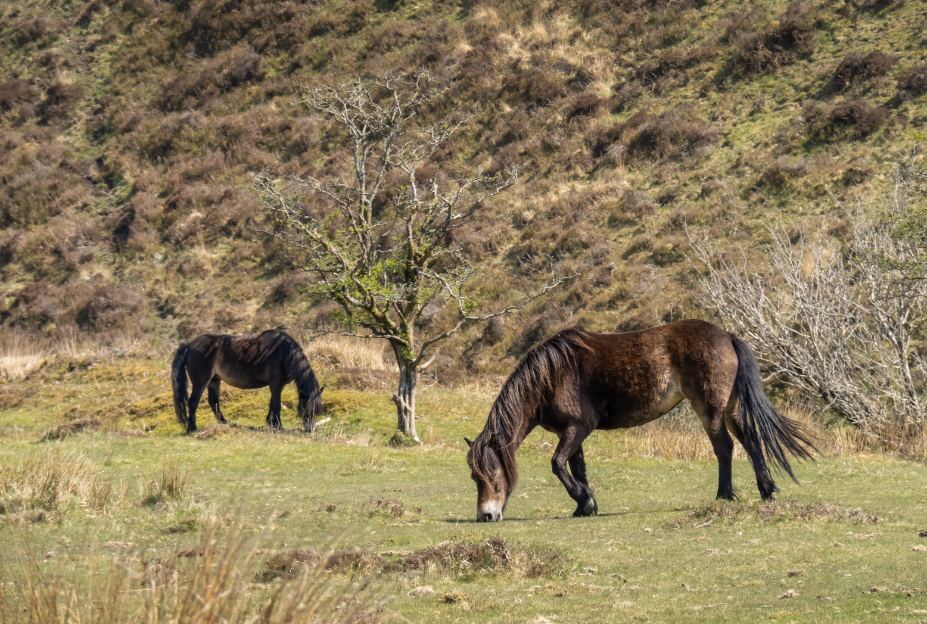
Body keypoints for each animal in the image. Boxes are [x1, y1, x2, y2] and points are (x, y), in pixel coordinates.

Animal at [170, 328, 324, 434]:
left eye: (318, 411)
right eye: (307, 409)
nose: (311, 430)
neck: (282, 353)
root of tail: (190, 345)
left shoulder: (279, 385)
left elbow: (272, 403)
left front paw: (271, 423)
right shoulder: (275, 383)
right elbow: (276, 405)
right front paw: (278, 427)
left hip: (214, 380)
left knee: (213, 402)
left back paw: (224, 423)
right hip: (201, 381)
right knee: (192, 403)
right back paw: (192, 428)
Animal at [465, 319, 817, 522]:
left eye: (491, 474)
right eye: (473, 477)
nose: (485, 516)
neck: (553, 375)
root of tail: (727, 336)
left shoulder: (578, 428)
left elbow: (558, 464)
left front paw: (584, 501)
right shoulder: (573, 431)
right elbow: (575, 467)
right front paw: (584, 505)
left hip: (710, 408)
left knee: (725, 448)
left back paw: (724, 495)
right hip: (728, 408)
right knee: (750, 440)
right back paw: (766, 490)